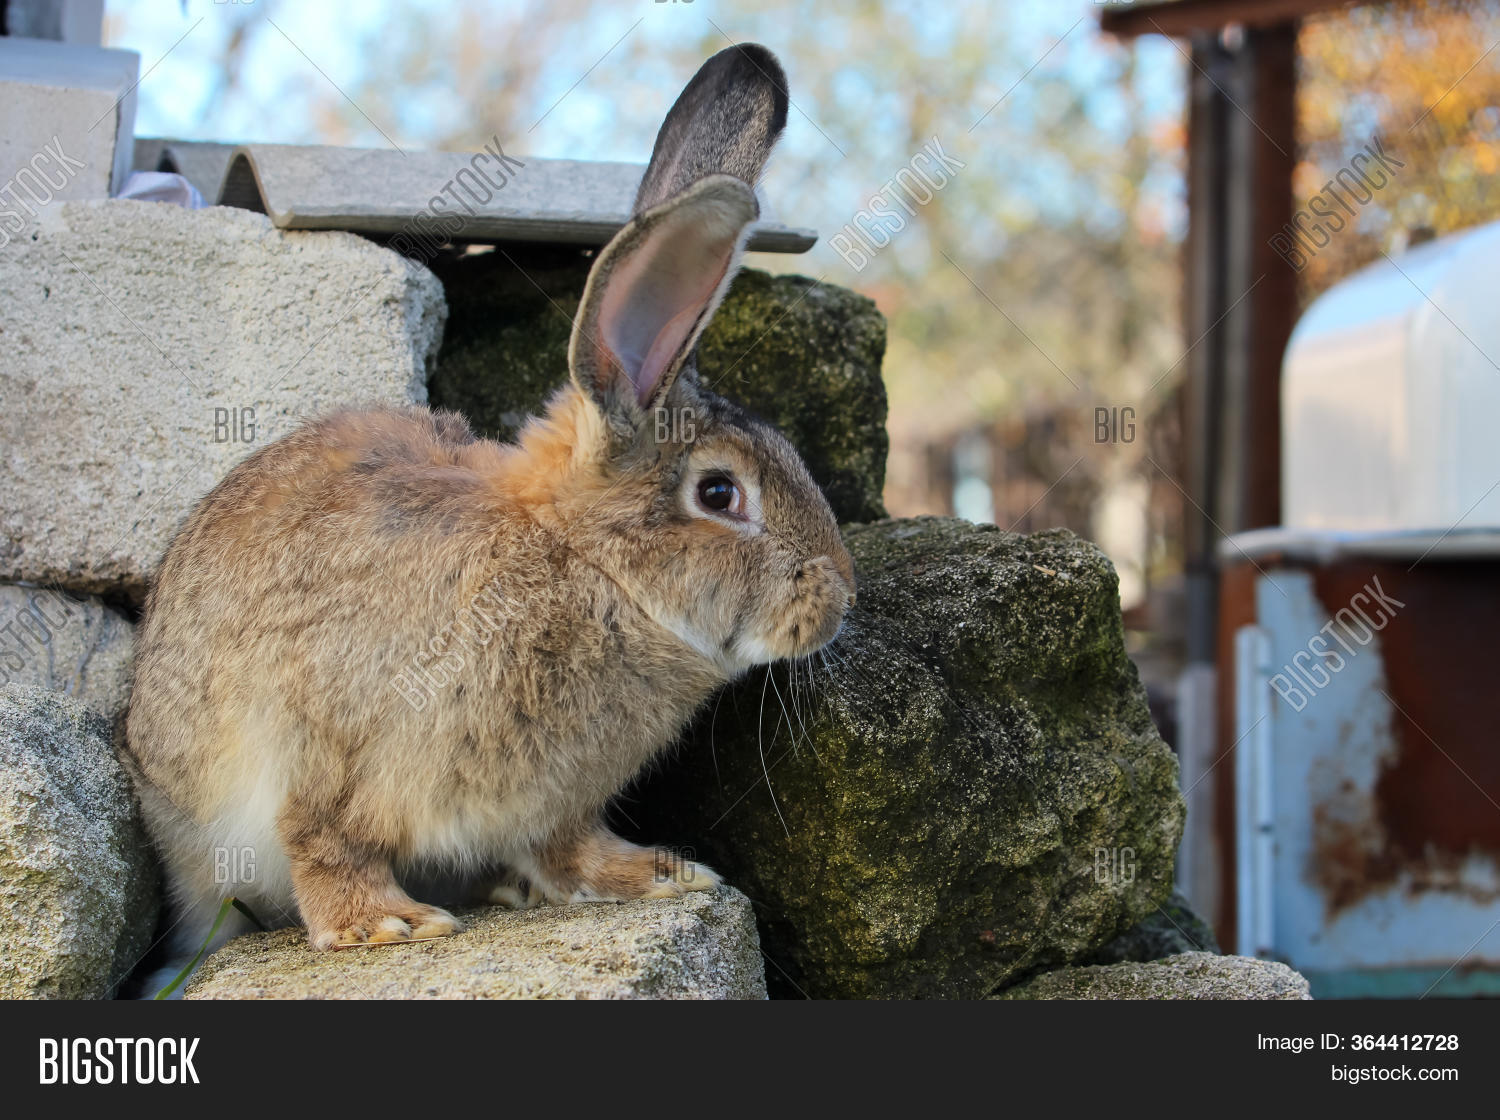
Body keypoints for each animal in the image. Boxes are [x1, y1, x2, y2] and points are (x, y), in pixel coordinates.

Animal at [123, 42, 855, 969]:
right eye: (720, 493)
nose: (841, 598)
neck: (582, 562)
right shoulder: (324, 742)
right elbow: (324, 839)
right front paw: (382, 926)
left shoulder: (556, 801)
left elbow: (569, 846)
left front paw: (655, 876)